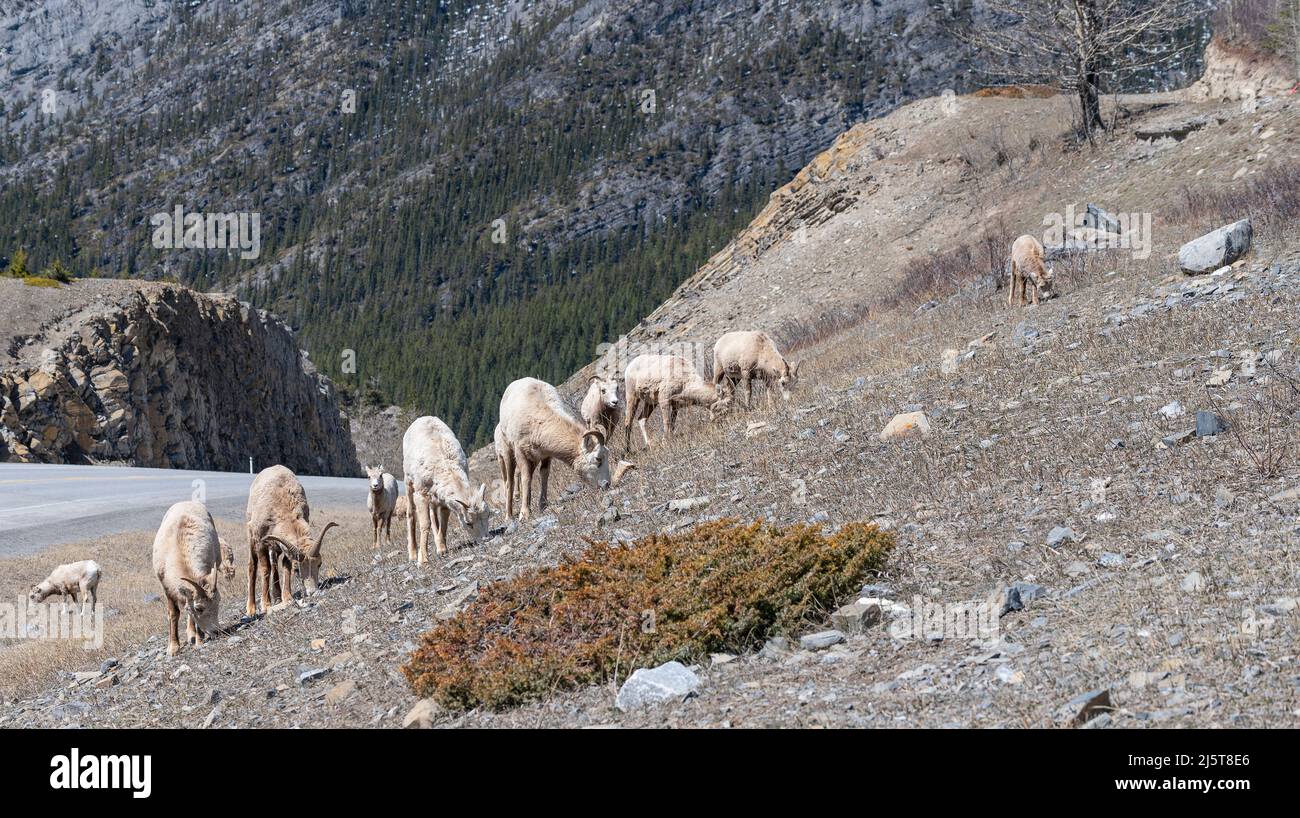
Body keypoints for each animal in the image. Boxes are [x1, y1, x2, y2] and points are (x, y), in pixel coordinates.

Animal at [151, 501, 221, 656]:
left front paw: (199, 640)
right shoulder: (166, 588)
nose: (216, 632)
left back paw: (192, 634)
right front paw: (173, 649)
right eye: (199, 608)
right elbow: (174, 614)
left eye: (218, 602)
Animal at [245, 465, 337, 616]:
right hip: (252, 540)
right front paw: (266, 605)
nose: (312, 592)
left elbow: (285, 566)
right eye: (297, 570)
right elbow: (265, 569)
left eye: (319, 564)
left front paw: (287, 597)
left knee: (274, 564)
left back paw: (277, 596)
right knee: (253, 566)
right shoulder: (261, 543)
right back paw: (251, 609)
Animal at [402, 416, 490, 565]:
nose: (485, 539)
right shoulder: (421, 495)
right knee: (411, 514)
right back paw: (412, 555)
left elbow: (443, 524)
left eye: (488, 516)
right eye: (468, 523)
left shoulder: (444, 502)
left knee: (434, 516)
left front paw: (442, 550)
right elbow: (425, 524)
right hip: (408, 483)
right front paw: (423, 560)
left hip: (433, 499)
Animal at [496, 377, 635, 521]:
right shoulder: (521, 453)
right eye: (597, 459)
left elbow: (544, 475)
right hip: (507, 452)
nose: (606, 484)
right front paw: (524, 514)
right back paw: (509, 515)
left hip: (533, 459)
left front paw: (543, 506)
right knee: (509, 482)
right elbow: (526, 478)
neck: (537, 421)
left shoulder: (545, 455)